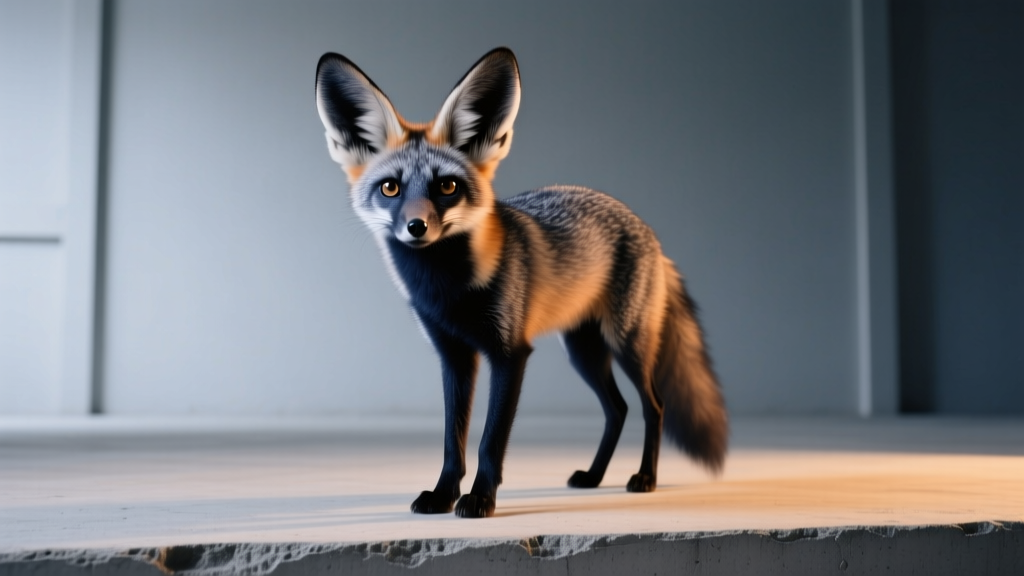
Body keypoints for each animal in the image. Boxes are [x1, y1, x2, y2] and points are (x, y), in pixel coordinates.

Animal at [315, 47, 727, 518]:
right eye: (390, 188)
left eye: (447, 186)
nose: (416, 228)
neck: (448, 292)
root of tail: (649, 233)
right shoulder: (454, 356)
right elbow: (452, 441)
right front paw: (443, 494)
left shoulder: (509, 353)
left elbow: (489, 442)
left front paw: (480, 499)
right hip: (583, 352)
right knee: (617, 409)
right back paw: (593, 476)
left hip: (628, 345)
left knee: (653, 406)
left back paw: (645, 478)